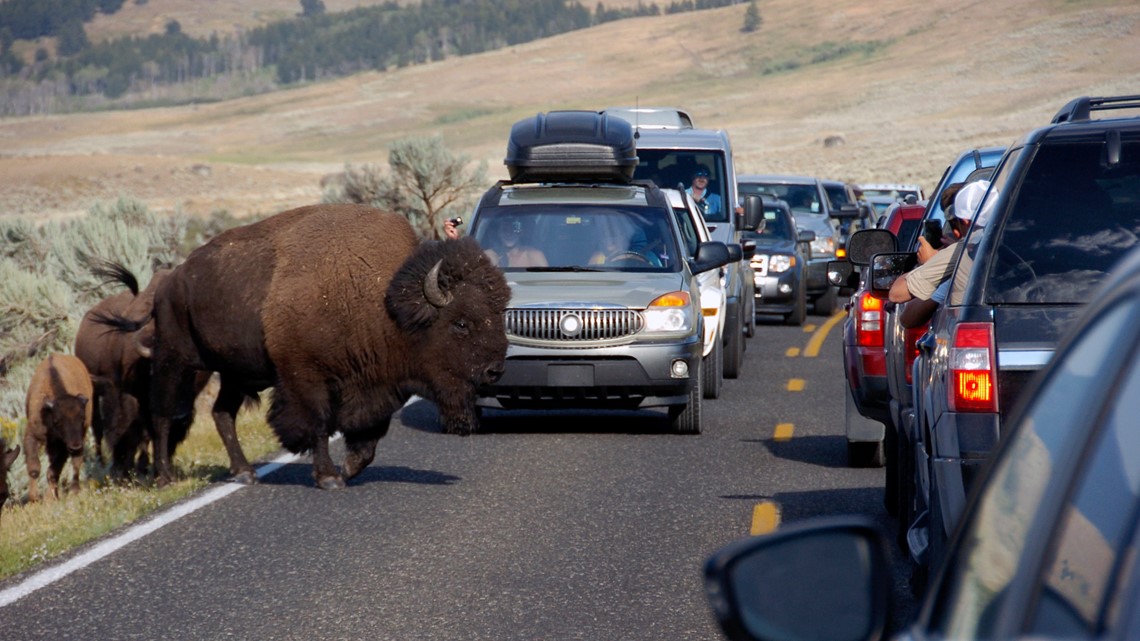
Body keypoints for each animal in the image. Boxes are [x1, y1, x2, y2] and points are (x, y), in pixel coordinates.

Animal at [24, 354, 94, 501]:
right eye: (58, 421)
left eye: (82, 418)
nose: (75, 446)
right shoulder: (31, 436)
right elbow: (34, 468)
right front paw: (34, 498)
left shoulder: (64, 446)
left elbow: (53, 471)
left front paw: (48, 499)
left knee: (76, 463)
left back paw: (73, 491)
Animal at [102, 204, 510, 489]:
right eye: (460, 322)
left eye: (499, 313)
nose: (495, 369)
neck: (383, 302)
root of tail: (170, 281)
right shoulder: (306, 378)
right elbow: (319, 424)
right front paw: (329, 477)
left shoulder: (375, 386)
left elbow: (368, 438)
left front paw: (347, 470)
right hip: (176, 361)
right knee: (162, 414)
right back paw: (165, 477)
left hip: (235, 373)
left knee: (221, 413)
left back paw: (245, 472)